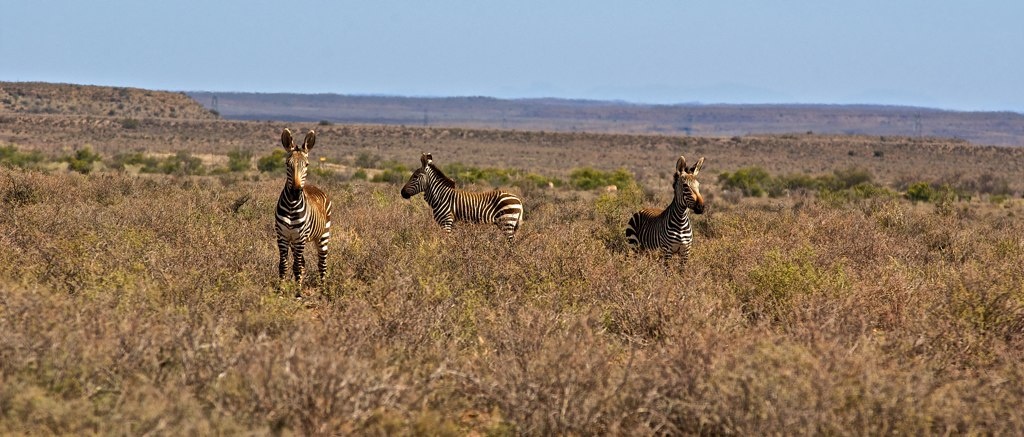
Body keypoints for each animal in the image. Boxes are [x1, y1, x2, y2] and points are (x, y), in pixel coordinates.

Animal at [275, 128, 333, 291]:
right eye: (287, 164)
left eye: (306, 164)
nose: (295, 191)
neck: (291, 206)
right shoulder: (282, 237)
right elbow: (284, 265)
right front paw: (280, 290)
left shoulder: (300, 237)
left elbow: (296, 266)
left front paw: (298, 293)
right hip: (294, 241)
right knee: (303, 263)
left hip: (323, 236)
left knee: (322, 264)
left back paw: (323, 289)